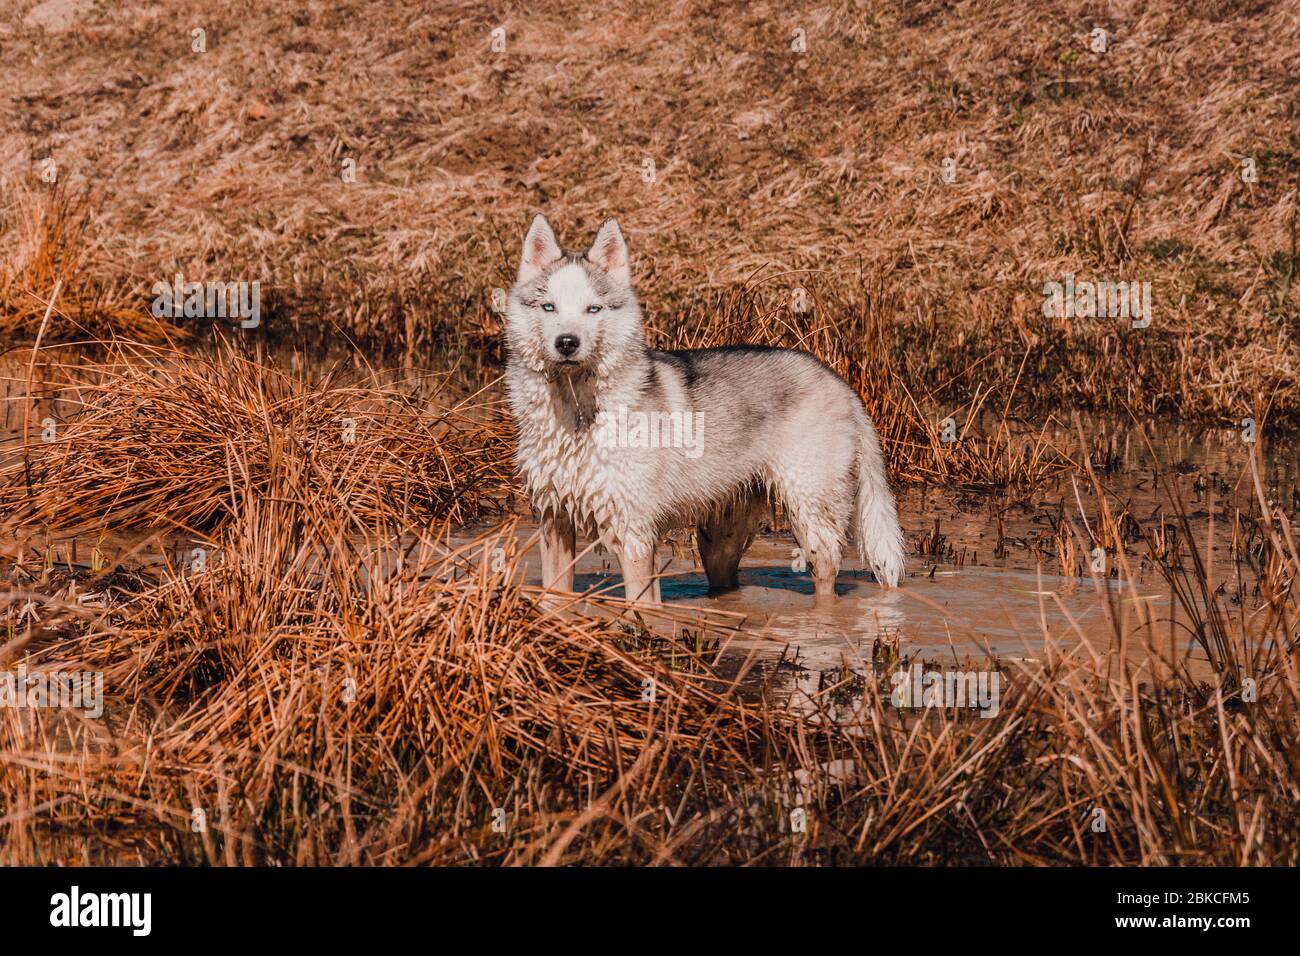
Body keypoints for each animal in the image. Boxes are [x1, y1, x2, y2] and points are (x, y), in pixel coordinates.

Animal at [503, 214, 905, 604]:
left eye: (593, 309)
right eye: (549, 307)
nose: (567, 343)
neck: (576, 414)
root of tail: (840, 383)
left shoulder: (634, 534)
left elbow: (641, 609)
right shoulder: (554, 522)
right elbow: (554, 602)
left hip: (811, 522)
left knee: (826, 583)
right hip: (719, 542)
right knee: (727, 583)